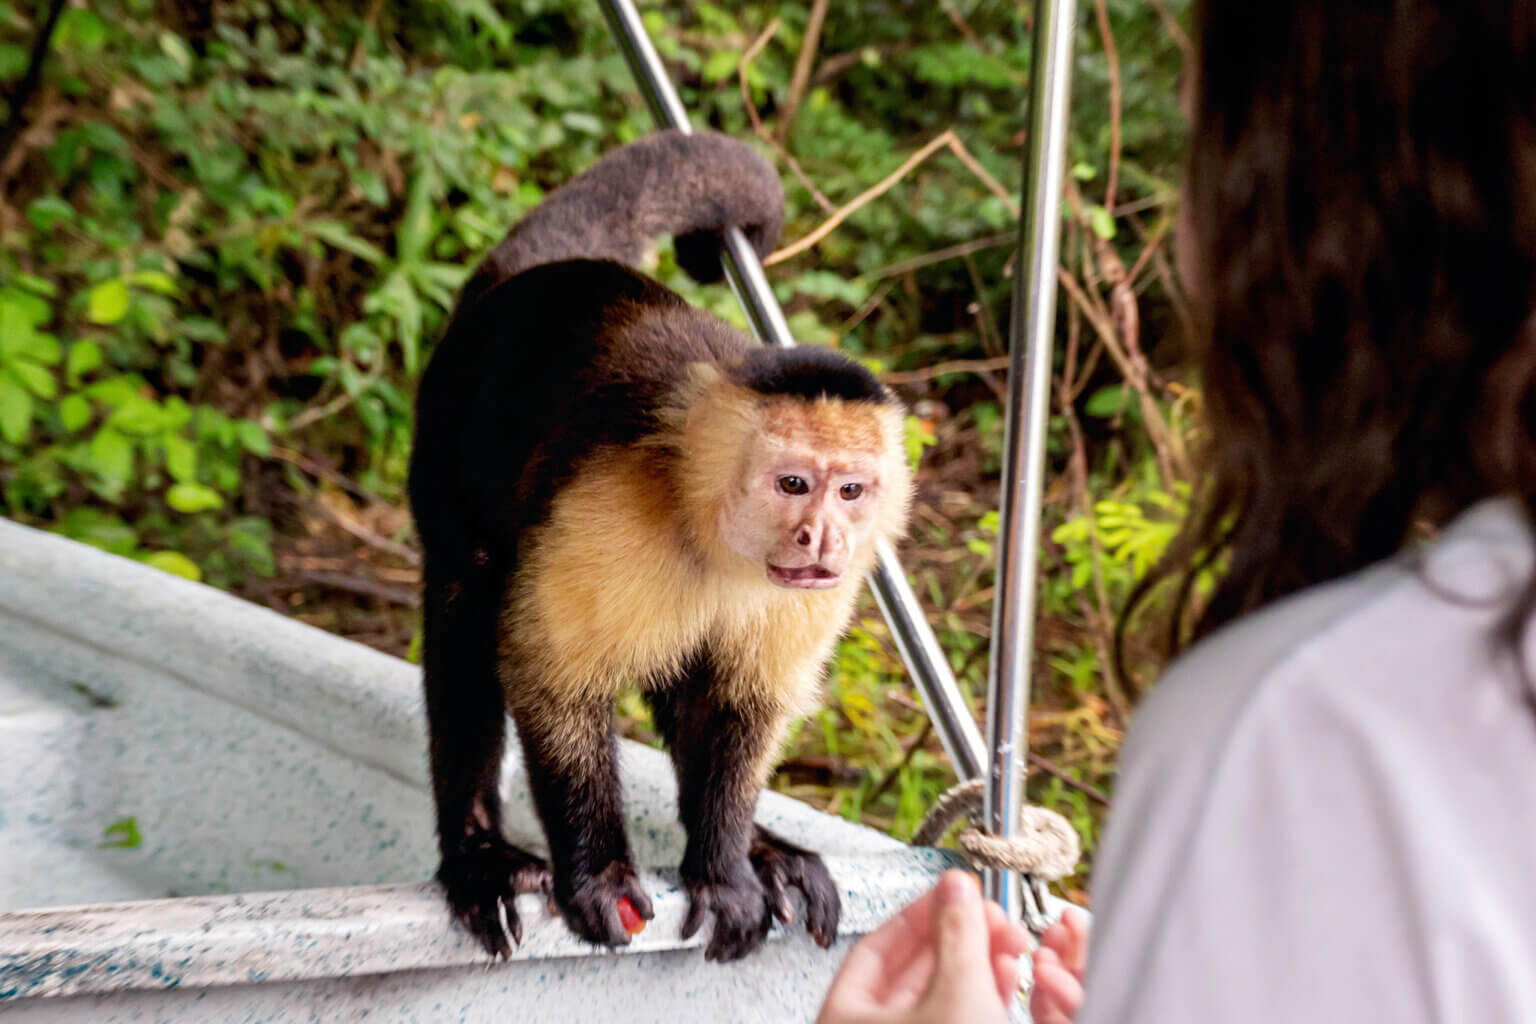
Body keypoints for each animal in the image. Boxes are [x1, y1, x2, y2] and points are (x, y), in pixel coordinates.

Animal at [408, 130, 913, 964]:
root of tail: (535, 275)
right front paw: (597, 873)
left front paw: (726, 867)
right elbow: (553, 673)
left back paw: (763, 851)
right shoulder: (612, 508)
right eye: (794, 484)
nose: (822, 537)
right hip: (447, 417)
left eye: (850, 491)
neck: (712, 533)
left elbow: (745, 703)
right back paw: (477, 850)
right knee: (467, 594)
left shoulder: (830, 583)